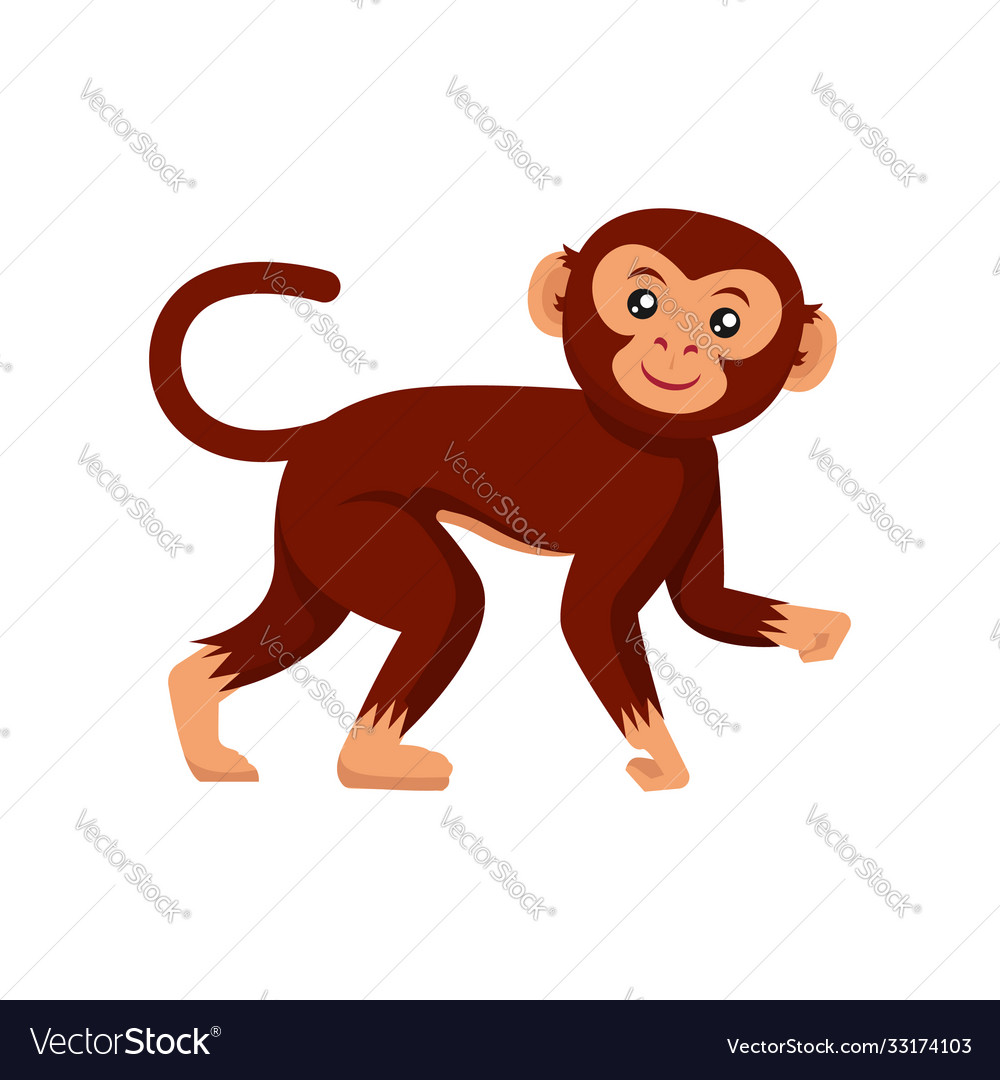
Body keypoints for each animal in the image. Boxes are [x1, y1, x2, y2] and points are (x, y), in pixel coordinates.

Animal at [150, 208, 850, 790]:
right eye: (642, 303)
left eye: (725, 323)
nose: (673, 345)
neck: (649, 436)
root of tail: (324, 430)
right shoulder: (640, 502)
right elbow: (589, 619)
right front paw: (665, 760)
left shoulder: (701, 487)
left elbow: (703, 604)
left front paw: (820, 631)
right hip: (340, 518)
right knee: (447, 604)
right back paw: (371, 763)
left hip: (310, 532)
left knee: (296, 624)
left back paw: (206, 730)